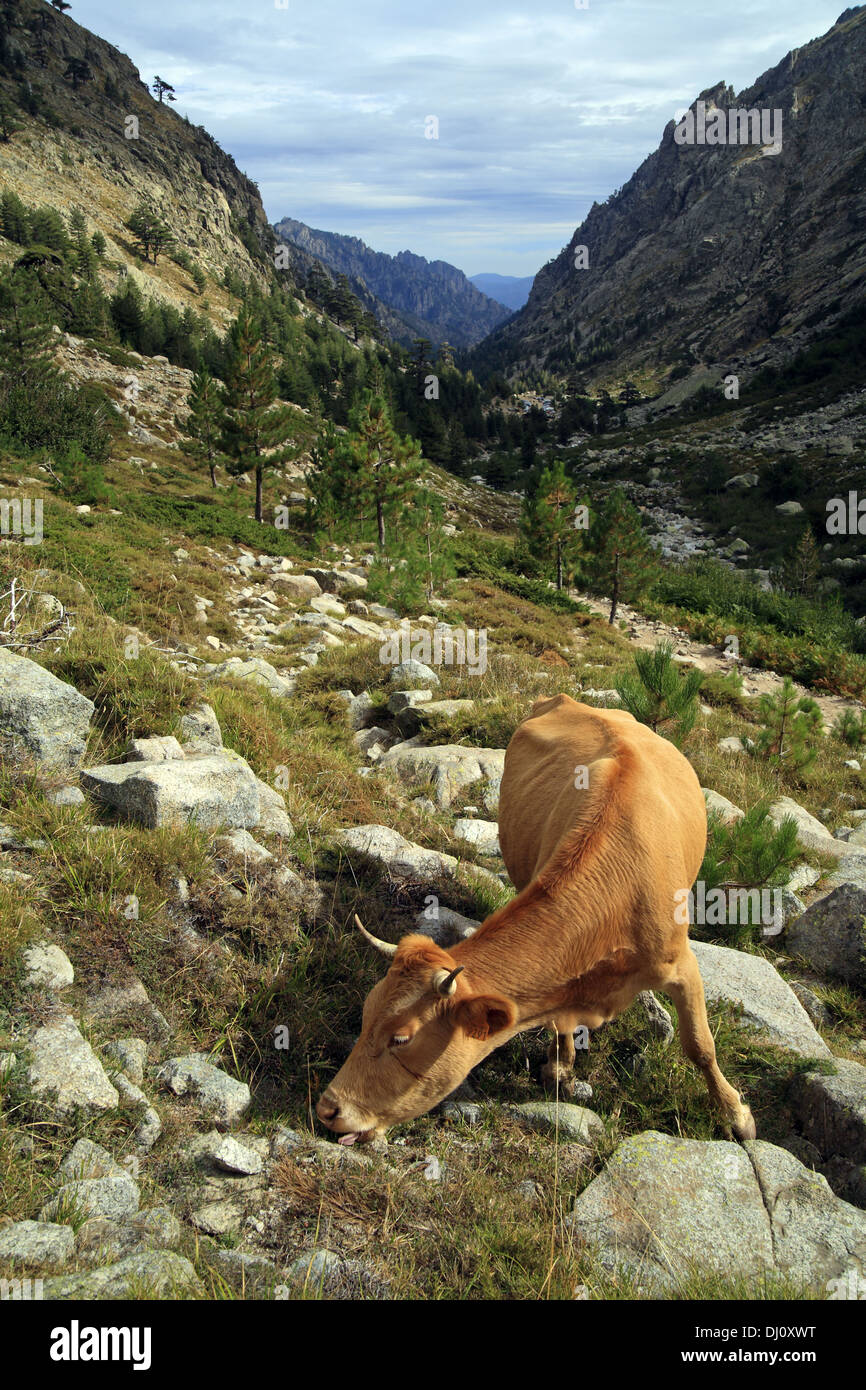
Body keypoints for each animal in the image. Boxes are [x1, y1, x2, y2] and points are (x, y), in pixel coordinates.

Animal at [317, 693, 756, 1145]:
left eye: (401, 1038)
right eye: (366, 1012)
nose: (328, 1108)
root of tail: (565, 698)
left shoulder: (682, 964)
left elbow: (700, 1045)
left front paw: (735, 1115)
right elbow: (558, 1022)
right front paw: (560, 1066)